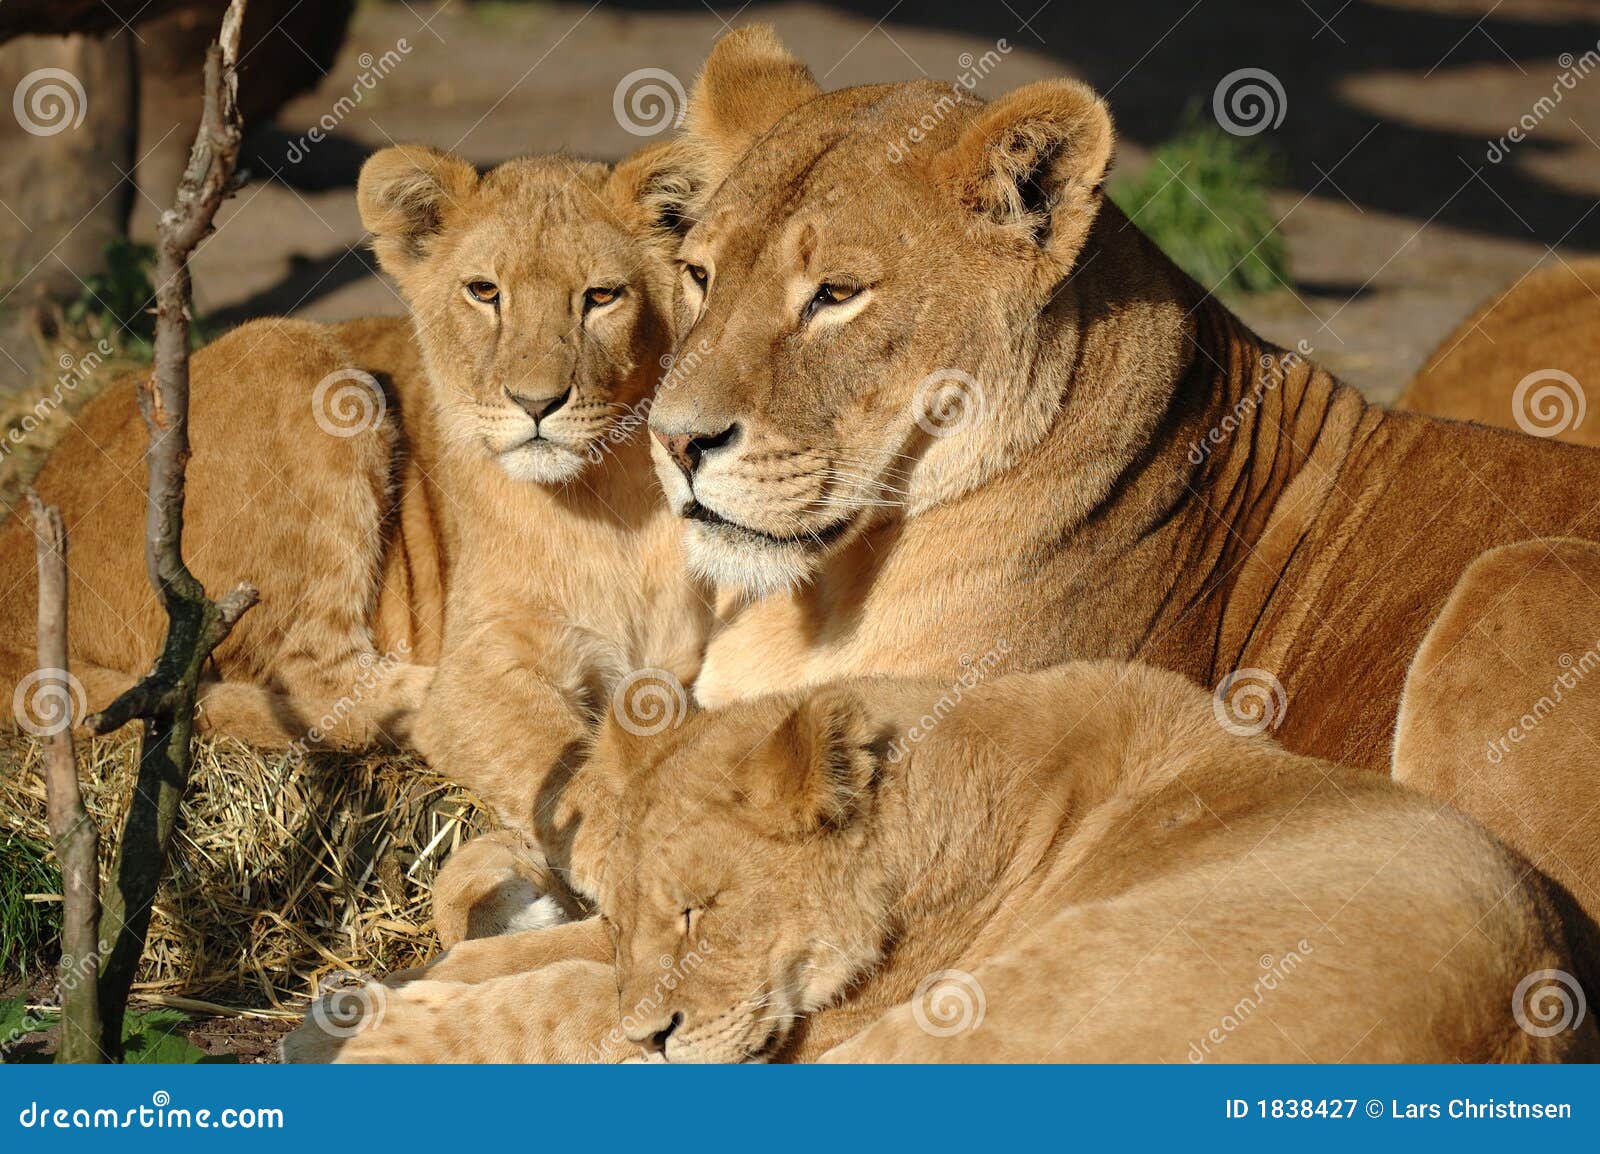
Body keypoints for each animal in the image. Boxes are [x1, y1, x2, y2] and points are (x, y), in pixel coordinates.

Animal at [0, 141, 713, 831]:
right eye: (484, 292)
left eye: (602, 296)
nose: (536, 403)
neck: (614, 498)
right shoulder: (486, 668)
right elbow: (578, 786)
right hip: (300, 359)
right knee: (317, 680)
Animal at [282, 662, 1600, 1063]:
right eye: (626, 915)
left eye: (706, 910)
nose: (656, 1032)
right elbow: (536, 956)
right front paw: (366, 997)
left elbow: (551, 997)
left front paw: (385, 1032)